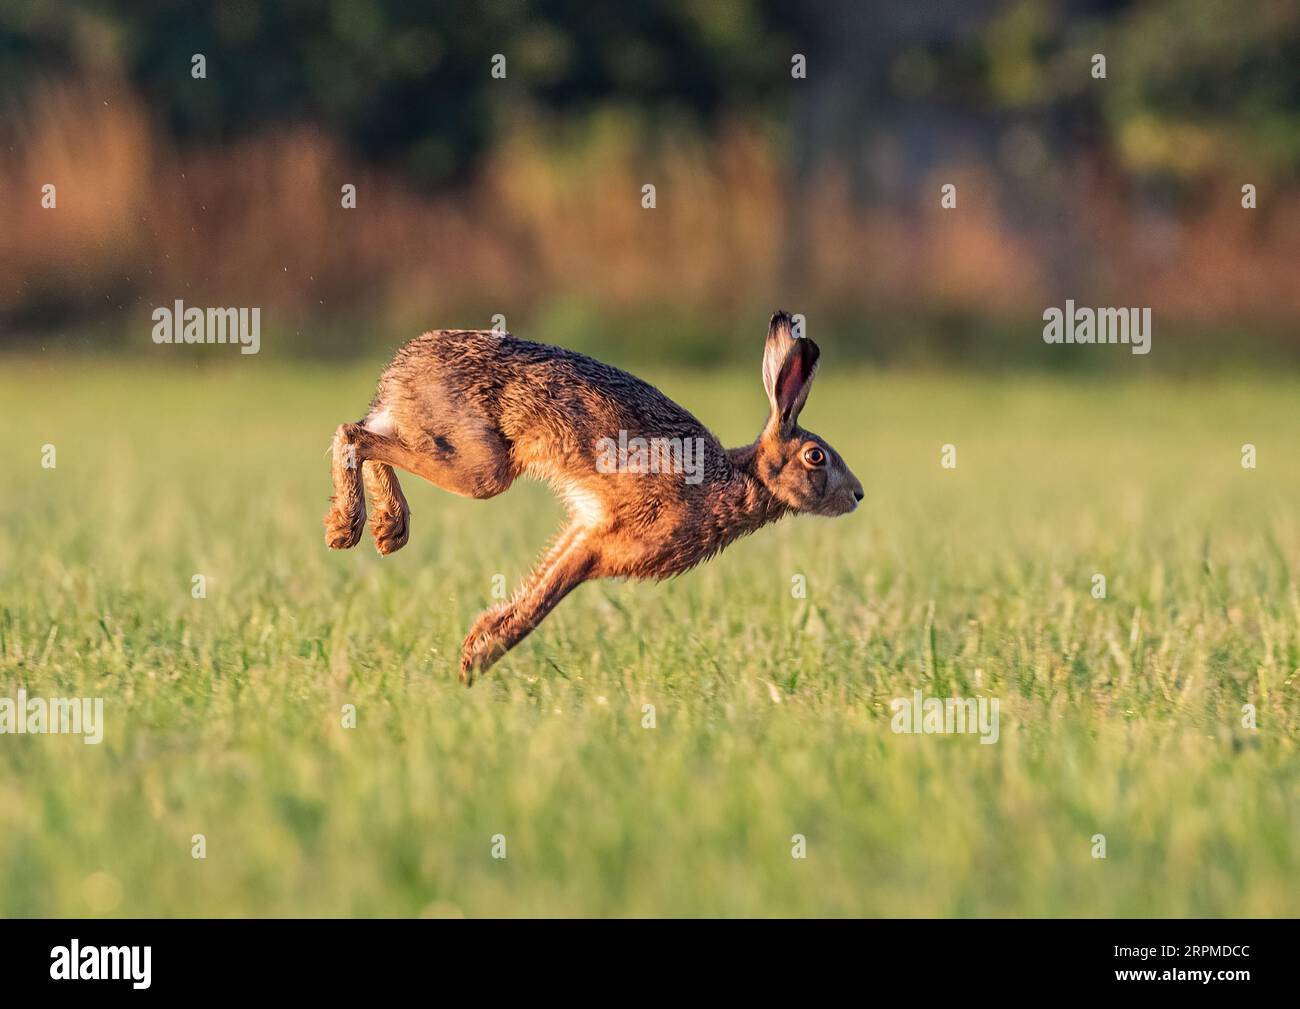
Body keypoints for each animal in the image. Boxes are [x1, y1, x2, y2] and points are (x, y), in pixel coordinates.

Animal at [324, 311, 863, 684]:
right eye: (816, 457)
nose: (858, 494)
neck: (743, 478)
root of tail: (401, 370)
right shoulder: (605, 539)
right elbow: (545, 597)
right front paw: (477, 660)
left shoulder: (588, 526)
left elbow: (544, 579)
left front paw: (477, 643)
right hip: (481, 467)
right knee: (353, 433)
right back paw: (349, 528)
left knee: (366, 432)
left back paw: (386, 529)